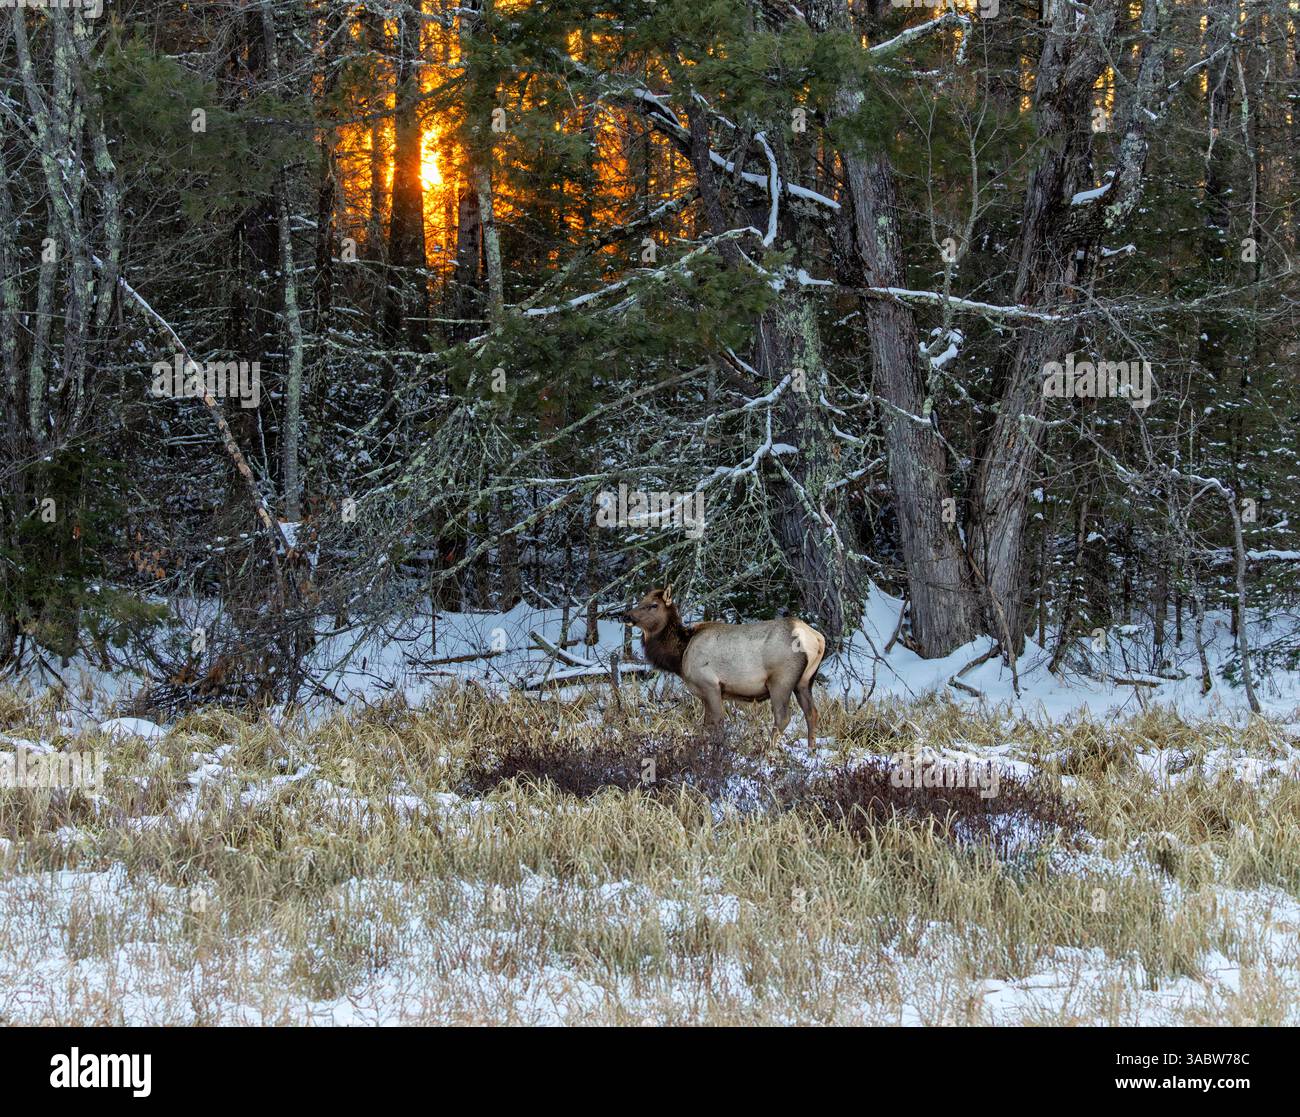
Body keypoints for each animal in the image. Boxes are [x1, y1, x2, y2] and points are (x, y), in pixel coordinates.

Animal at [622, 586, 826, 752]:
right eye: (640, 601)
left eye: (653, 605)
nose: (626, 616)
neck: (680, 656)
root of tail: (816, 638)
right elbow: (707, 724)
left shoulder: (710, 685)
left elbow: (717, 722)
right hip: (804, 681)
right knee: (812, 713)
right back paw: (811, 751)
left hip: (781, 679)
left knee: (783, 717)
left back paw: (767, 751)